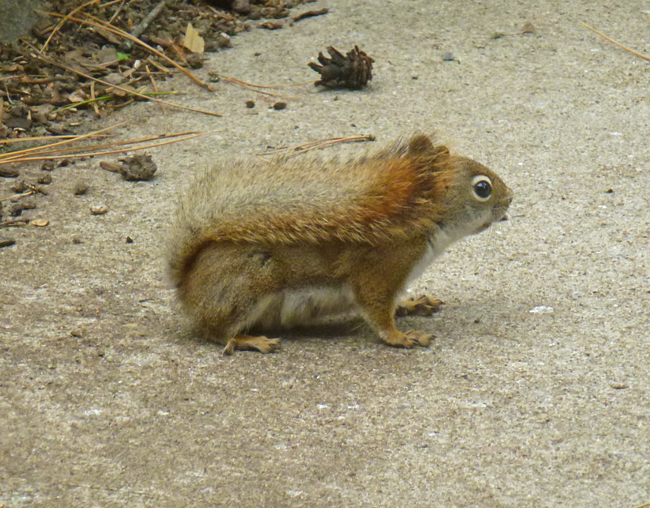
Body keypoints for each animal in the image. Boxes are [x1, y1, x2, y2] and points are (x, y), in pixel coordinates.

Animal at [167, 134, 513, 355]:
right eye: (483, 188)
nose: (511, 198)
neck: (424, 225)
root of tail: (187, 286)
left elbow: (393, 303)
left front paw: (412, 304)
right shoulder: (384, 268)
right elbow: (376, 310)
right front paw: (401, 337)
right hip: (245, 288)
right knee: (215, 332)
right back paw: (249, 341)